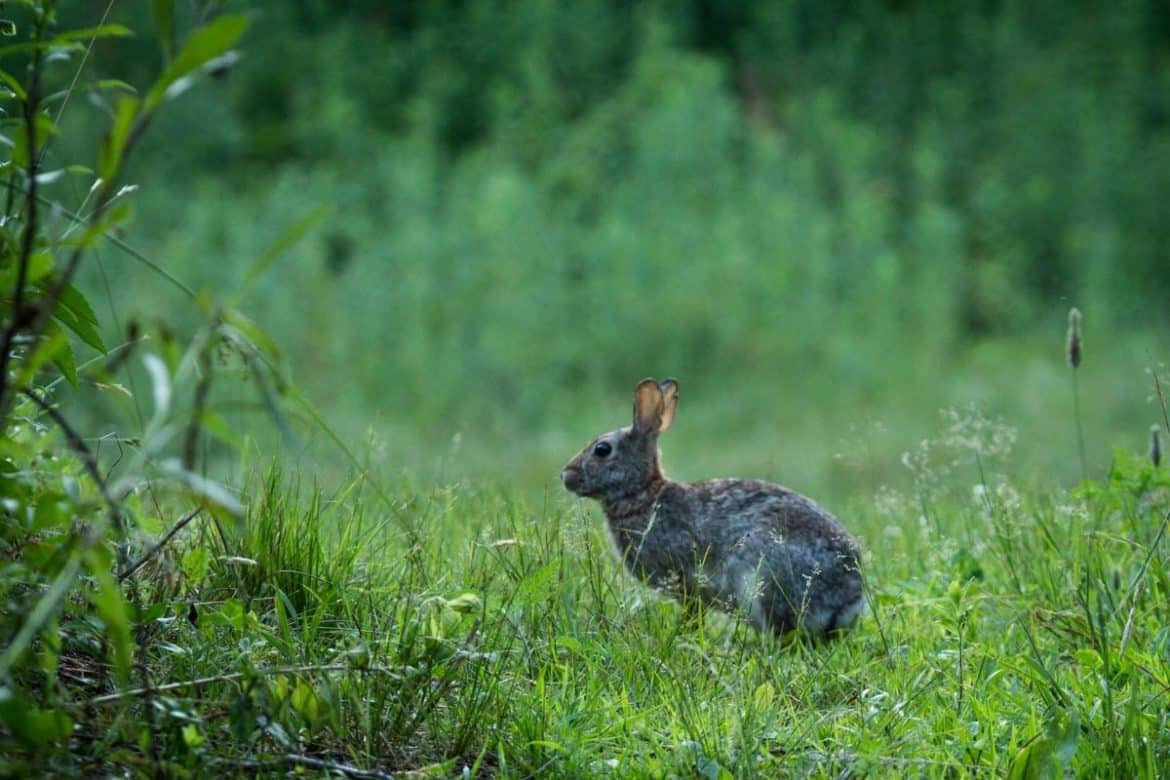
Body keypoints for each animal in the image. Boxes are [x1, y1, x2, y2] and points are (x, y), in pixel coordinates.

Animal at [560, 378, 864, 638]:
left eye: (602, 449)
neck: (642, 494)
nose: (565, 476)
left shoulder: (687, 580)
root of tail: (847, 600)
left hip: (761, 581)